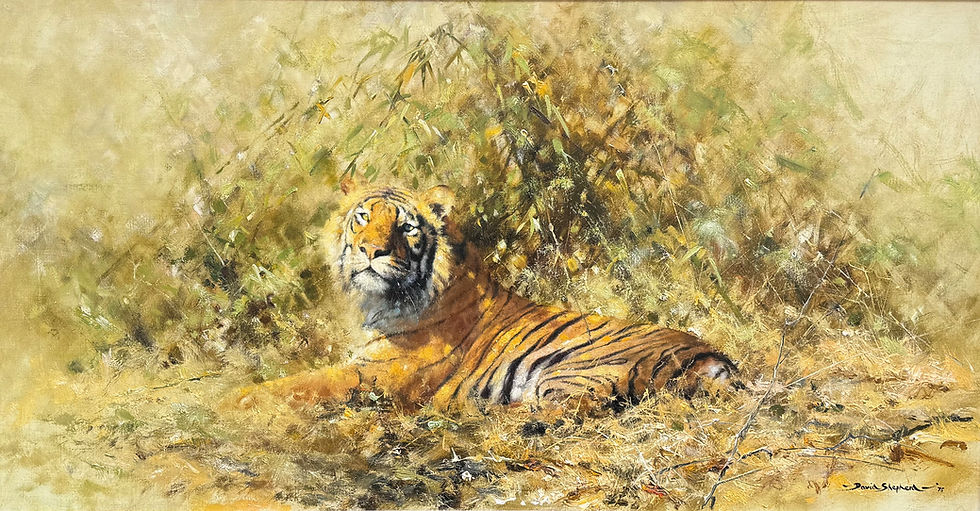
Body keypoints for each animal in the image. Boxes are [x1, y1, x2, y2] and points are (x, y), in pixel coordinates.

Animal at [235, 184, 736, 412]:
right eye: (362, 217)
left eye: (406, 227)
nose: (370, 251)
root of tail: (709, 356)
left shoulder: (380, 371)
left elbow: (303, 383)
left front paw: (231, 400)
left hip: (573, 371)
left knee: (556, 412)